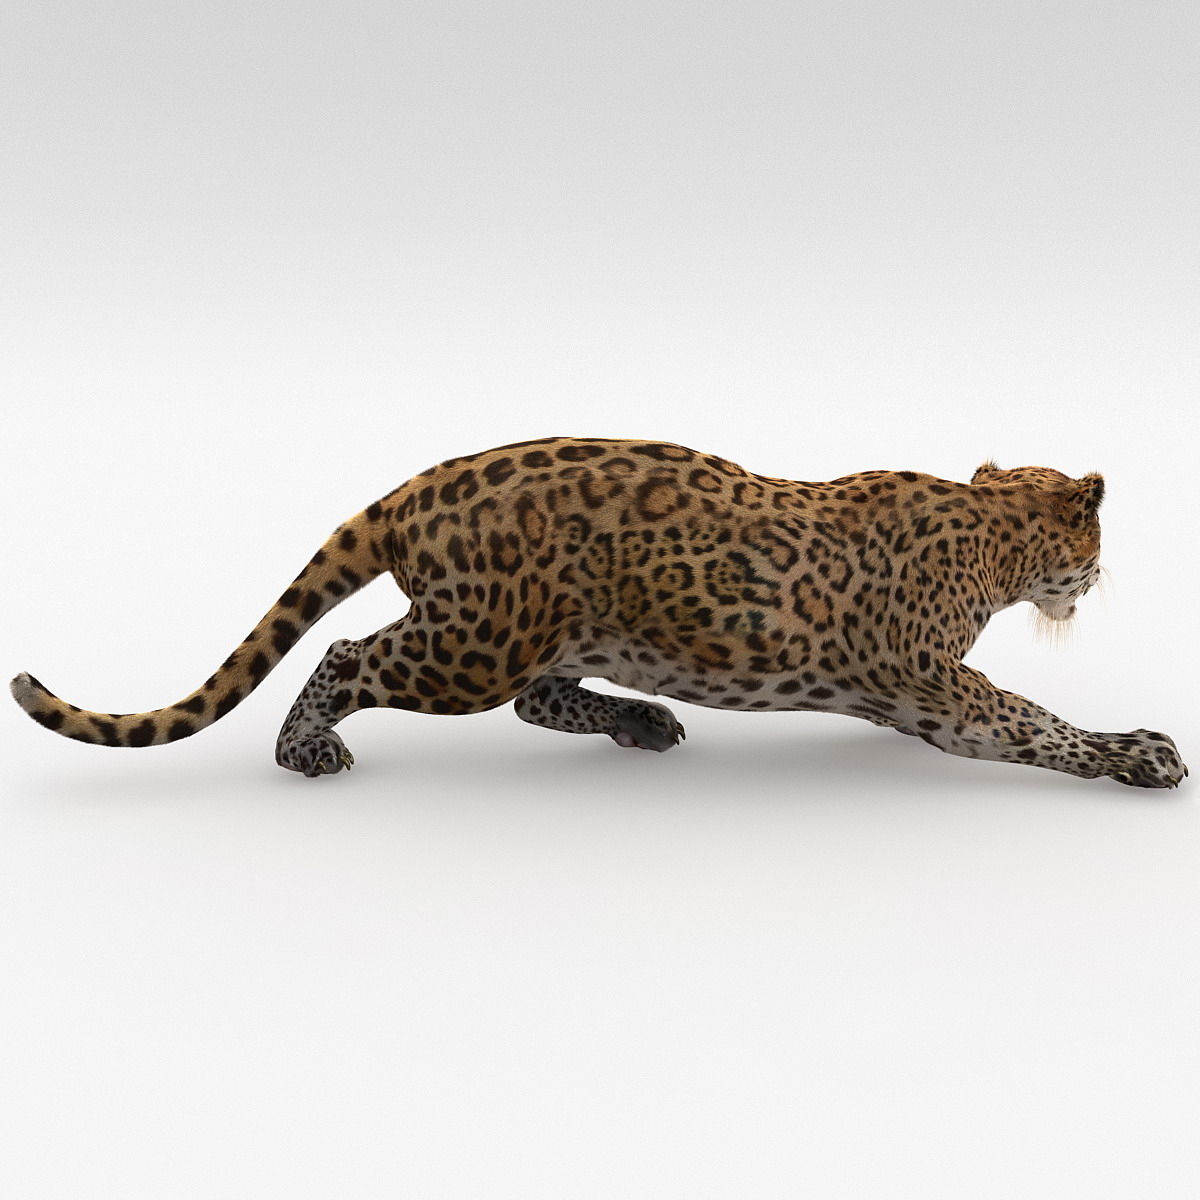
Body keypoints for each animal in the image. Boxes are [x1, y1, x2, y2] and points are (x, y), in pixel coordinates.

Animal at [10, 437, 1188, 790]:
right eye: (1093, 548)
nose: (1090, 584)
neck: (990, 532)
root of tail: (412, 490)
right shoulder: (937, 684)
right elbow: (1035, 722)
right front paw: (1140, 752)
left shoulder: (920, 700)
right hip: (469, 642)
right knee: (351, 651)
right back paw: (307, 748)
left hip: (558, 629)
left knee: (539, 699)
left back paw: (642, 720)